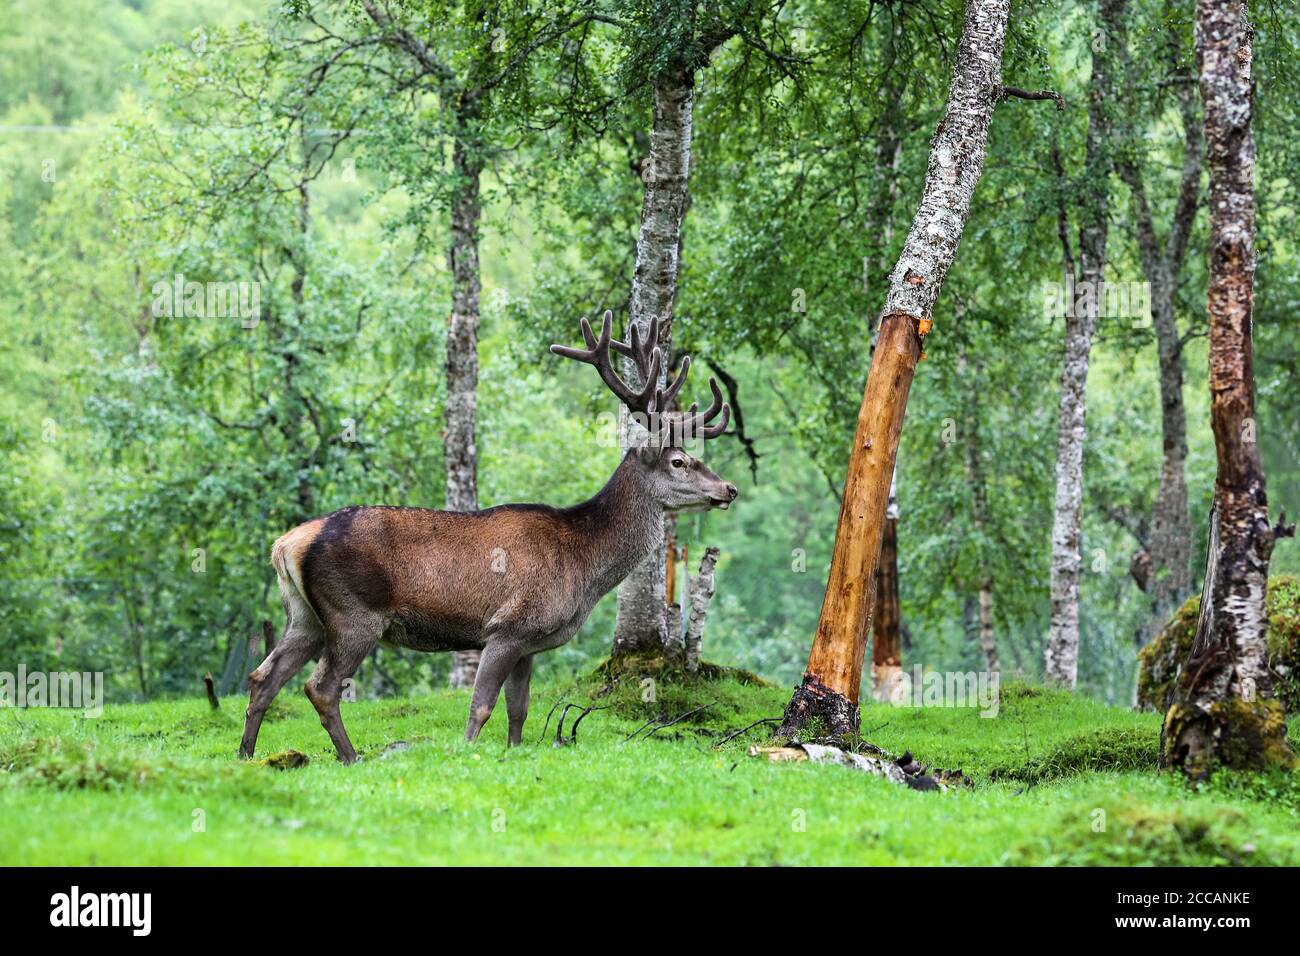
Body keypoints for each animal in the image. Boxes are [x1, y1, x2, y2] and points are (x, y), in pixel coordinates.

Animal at [239, 310, 737, 763]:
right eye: (679, 461)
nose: (729, 489)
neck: (582, 563)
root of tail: (286, 544)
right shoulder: (506, 627)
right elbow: (480, 707)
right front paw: (467, 753)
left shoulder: (531, 642)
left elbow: (519, 710)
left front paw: (512, 753)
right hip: (354, 612)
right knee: (320, 687)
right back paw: (350, 756)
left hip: (304, 615)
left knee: (264, 676)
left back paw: (246, 754)